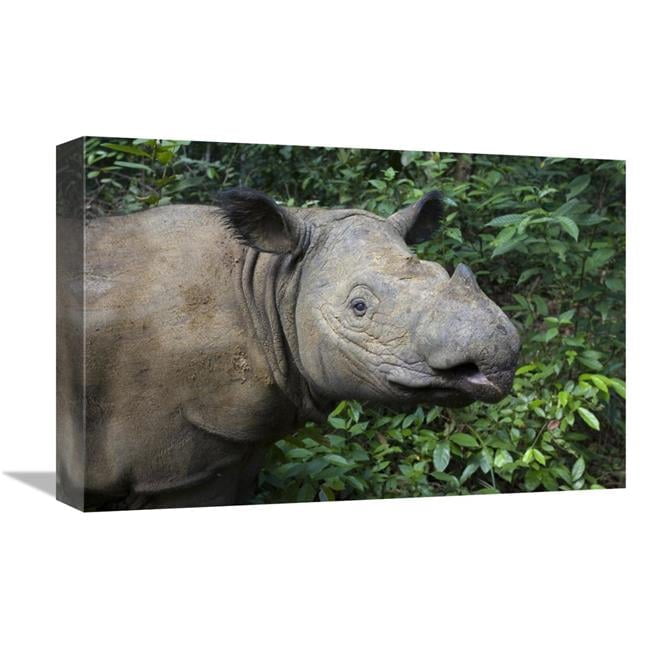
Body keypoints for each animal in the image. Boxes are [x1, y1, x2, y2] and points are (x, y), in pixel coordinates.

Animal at [57, 188, 520, 510]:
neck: (273, 281)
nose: (499, 360)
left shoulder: (240, 438)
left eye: (440, 272)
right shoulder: (181, 464)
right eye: (359, 307)